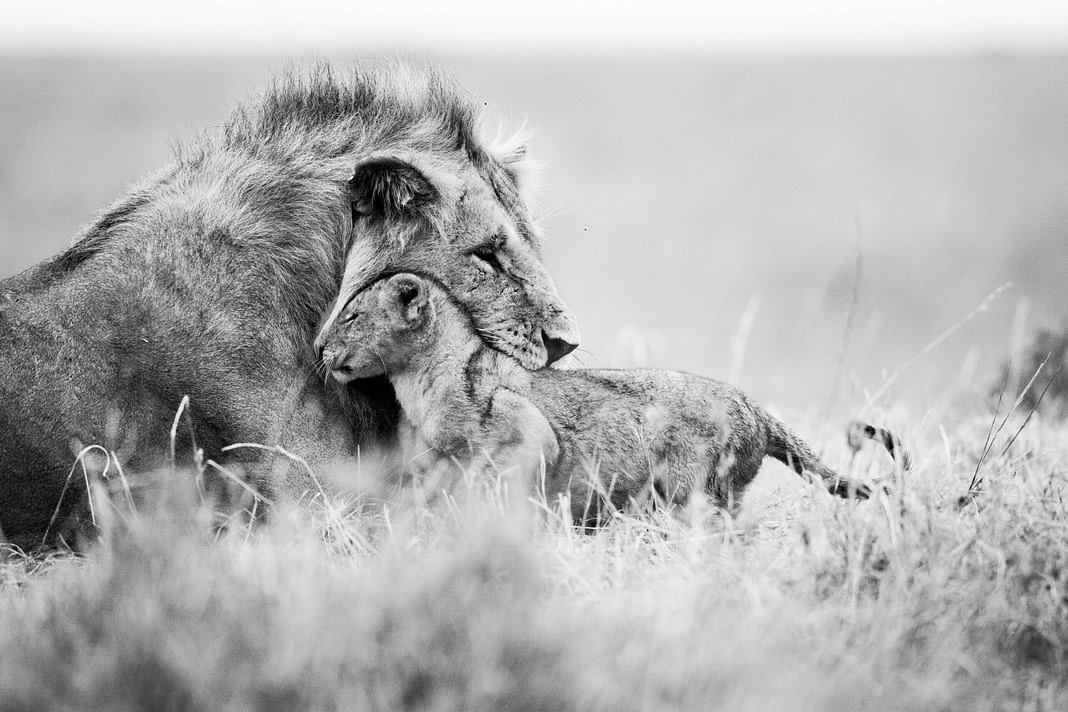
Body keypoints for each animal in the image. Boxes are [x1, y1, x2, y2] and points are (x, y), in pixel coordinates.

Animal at [318, 273, 910, 528]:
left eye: (351, 315)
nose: (319, 349)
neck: (419, 380)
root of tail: (752, 405)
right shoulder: (434, 461)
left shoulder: (532, 436)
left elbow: (499, 485)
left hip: (690, 492)